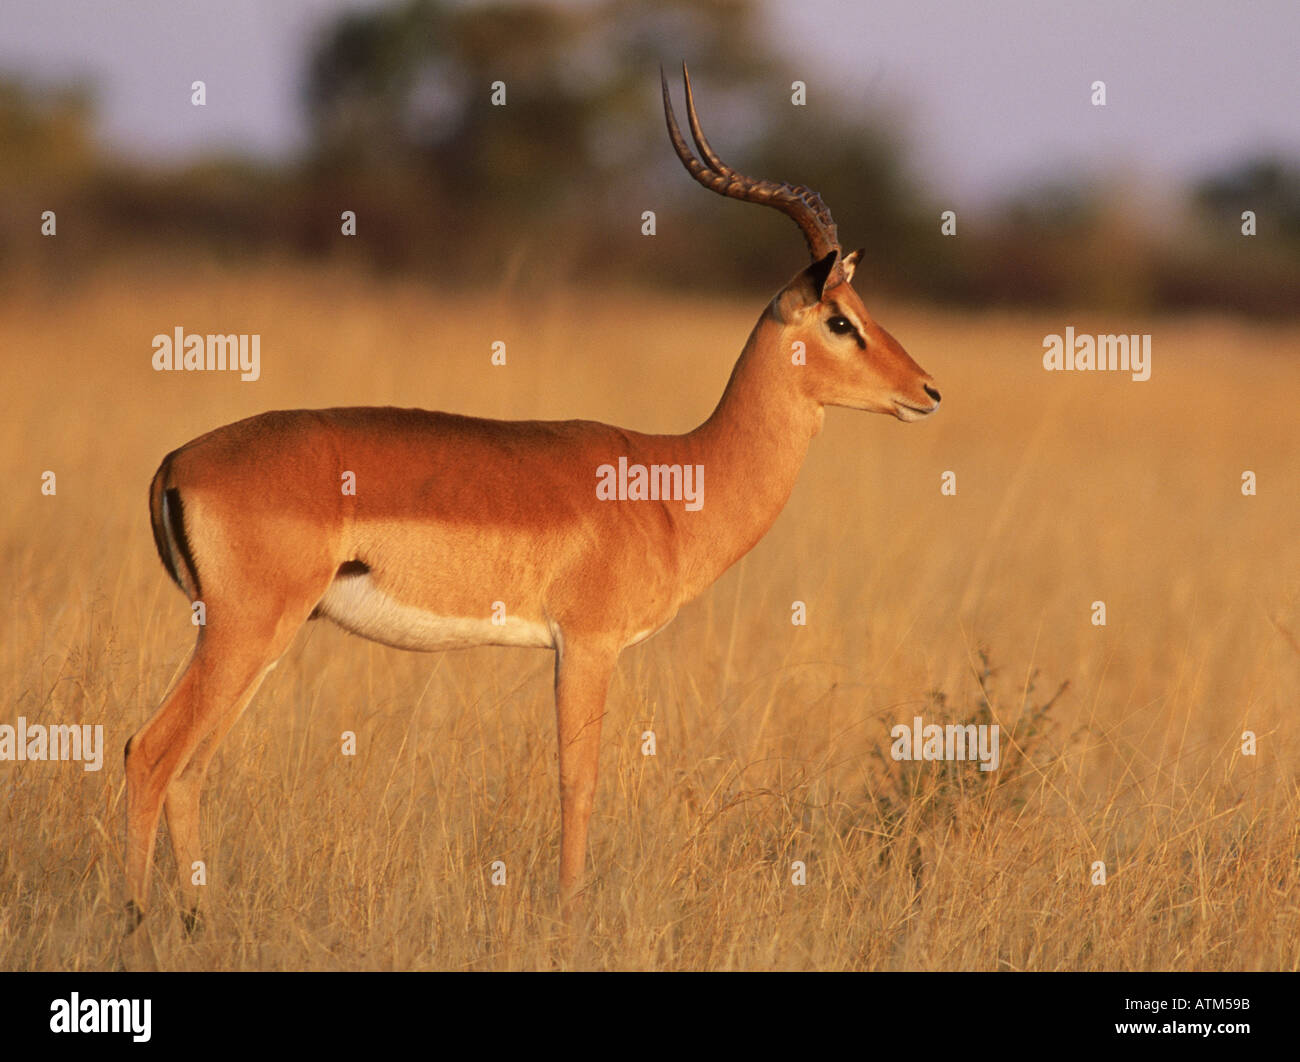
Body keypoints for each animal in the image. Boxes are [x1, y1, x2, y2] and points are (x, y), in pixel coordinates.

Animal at [124, 64, 940, 932]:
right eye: (841, 319)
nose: (928, 390)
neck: (673, 482)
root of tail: (177, 460)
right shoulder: (586, 645)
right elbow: (576, 782)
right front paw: (570, 916)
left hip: (257, 639)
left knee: (188, 768)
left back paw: (196, 919)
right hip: (244, 632)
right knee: (149, 752)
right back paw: (134, 919)